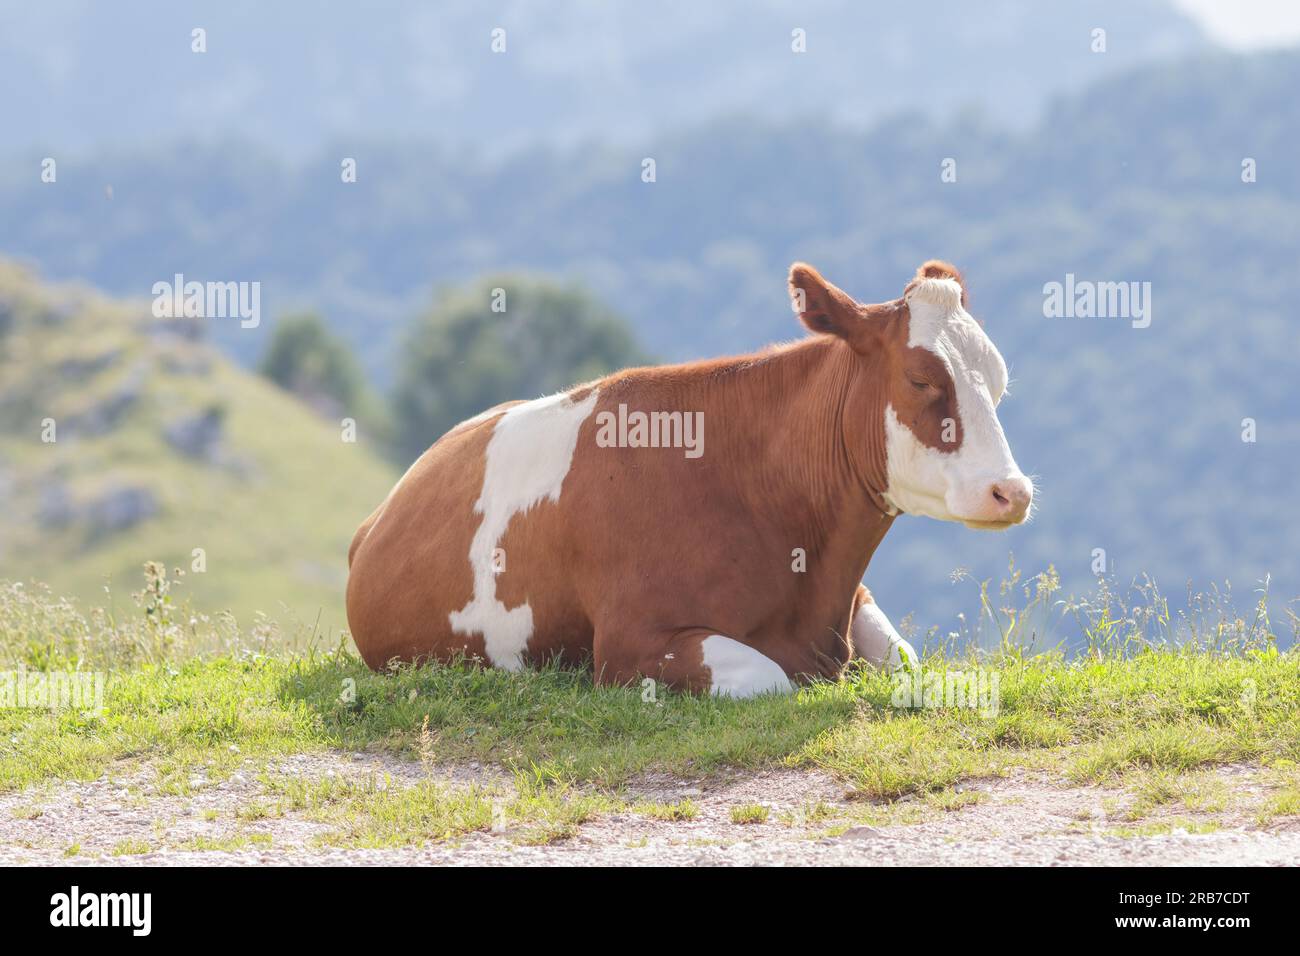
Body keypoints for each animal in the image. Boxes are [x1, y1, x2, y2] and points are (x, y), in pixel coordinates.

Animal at [346, 261, 1033, 697]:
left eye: (1001, 381)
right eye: (921, 379)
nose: (1012, 491)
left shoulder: (854, 601)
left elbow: (904, 660)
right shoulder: (630, 645)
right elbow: (771, 678)